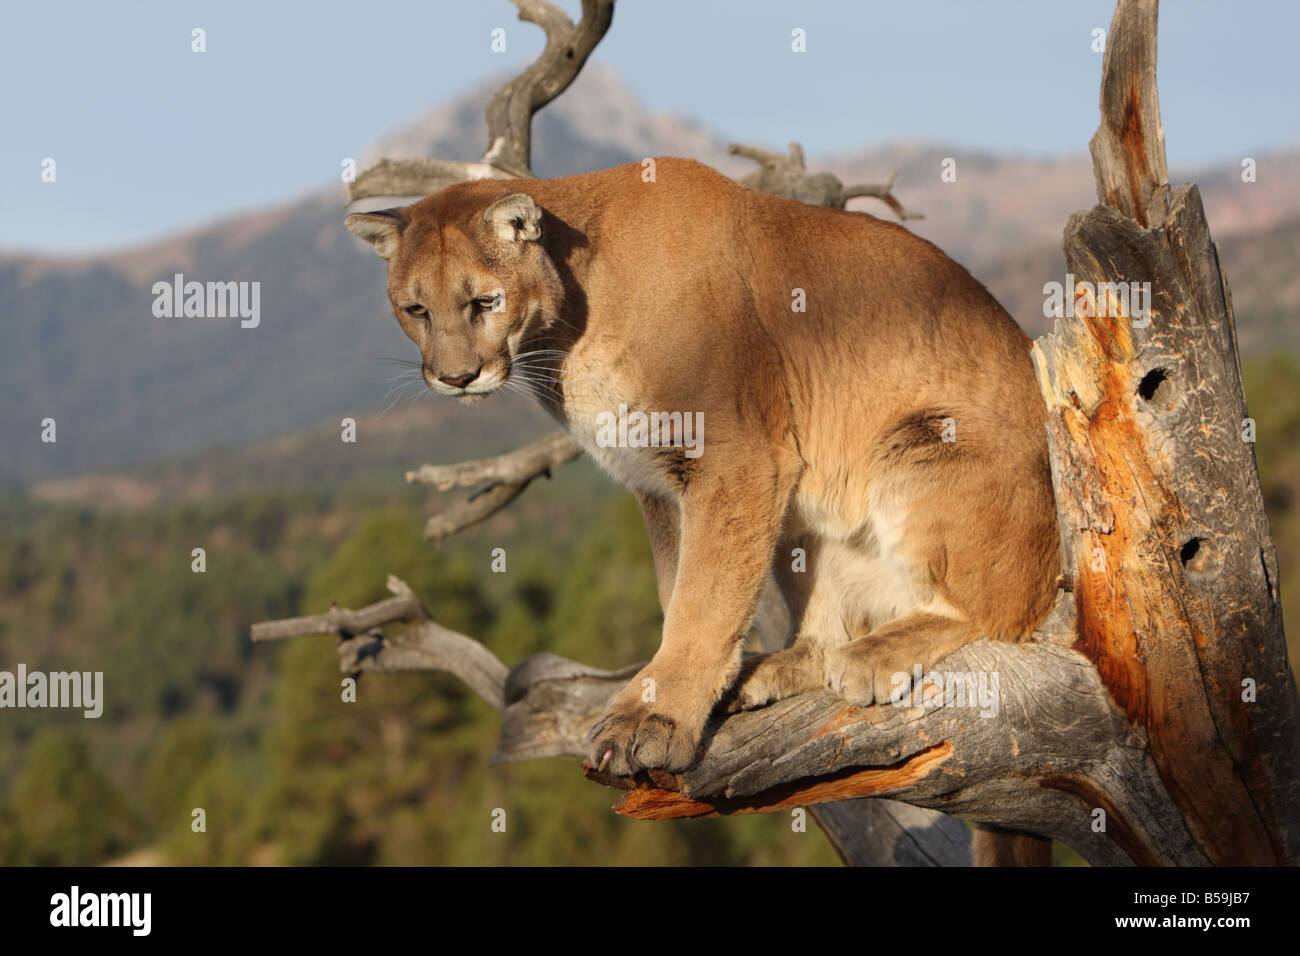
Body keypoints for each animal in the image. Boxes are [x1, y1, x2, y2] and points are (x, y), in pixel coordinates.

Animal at [347, 157, 1059, 865]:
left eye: (484, 302)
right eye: (415, 309)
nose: (454, 377)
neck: (570, 319)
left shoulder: (732, 458)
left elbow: (702, 601)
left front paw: (654, 720)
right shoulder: (659, 482)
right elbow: (679, 593)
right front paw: (670, 699)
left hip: (922, 442)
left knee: (1000, 611)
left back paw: (875, 656)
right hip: (814, 521)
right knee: (825, 628)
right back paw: (772, 669)